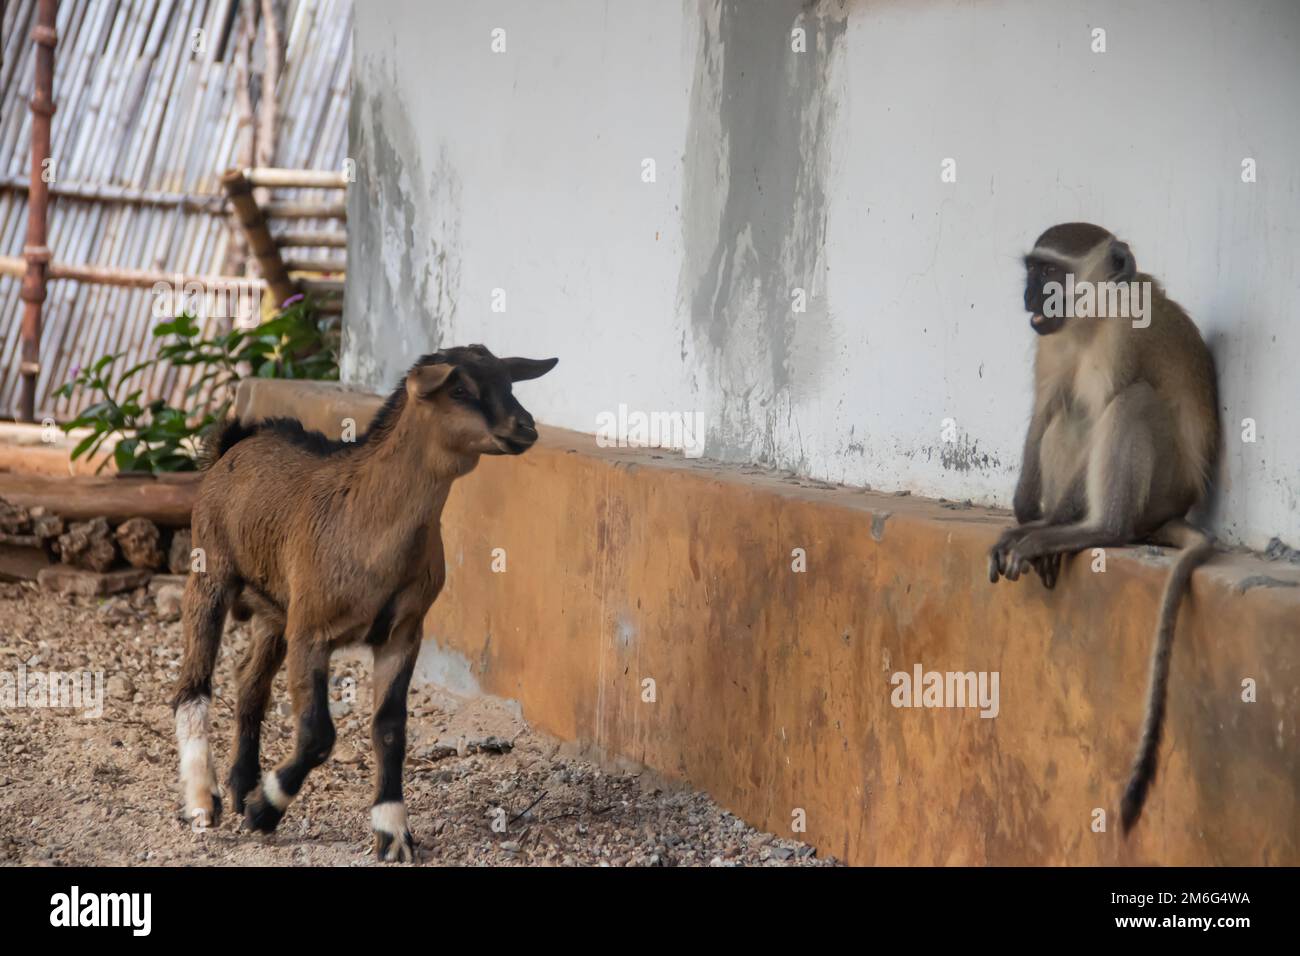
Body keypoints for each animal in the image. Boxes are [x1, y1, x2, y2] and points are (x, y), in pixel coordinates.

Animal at [172, 345, 557, 861]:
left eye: (509, 383)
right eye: (459, 388)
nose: (525, 427)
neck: (367, 524)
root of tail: (233, 444)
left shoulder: (402, 633)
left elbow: (390, 728)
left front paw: (392, 830)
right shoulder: (312, 632)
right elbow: (318, 734)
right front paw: (266, 810)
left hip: (275, 609)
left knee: (250, 681)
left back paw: (241, 783)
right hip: (210, 570)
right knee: (193, 683)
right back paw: (203, 799)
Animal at [989, 222, 1220, 833]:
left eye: (1051, 273)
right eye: (1033, 271)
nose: (1030, 295)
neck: (1088, 323)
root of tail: (1175, 509)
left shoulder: (1122, 334)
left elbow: (1104, 407)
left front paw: (1043, 528)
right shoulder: (1051, 338)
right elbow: (1046, 408)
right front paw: (1025, 511)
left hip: (1163, 484)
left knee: (1126, 403)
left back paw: (1093, 531)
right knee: (1068, 407)